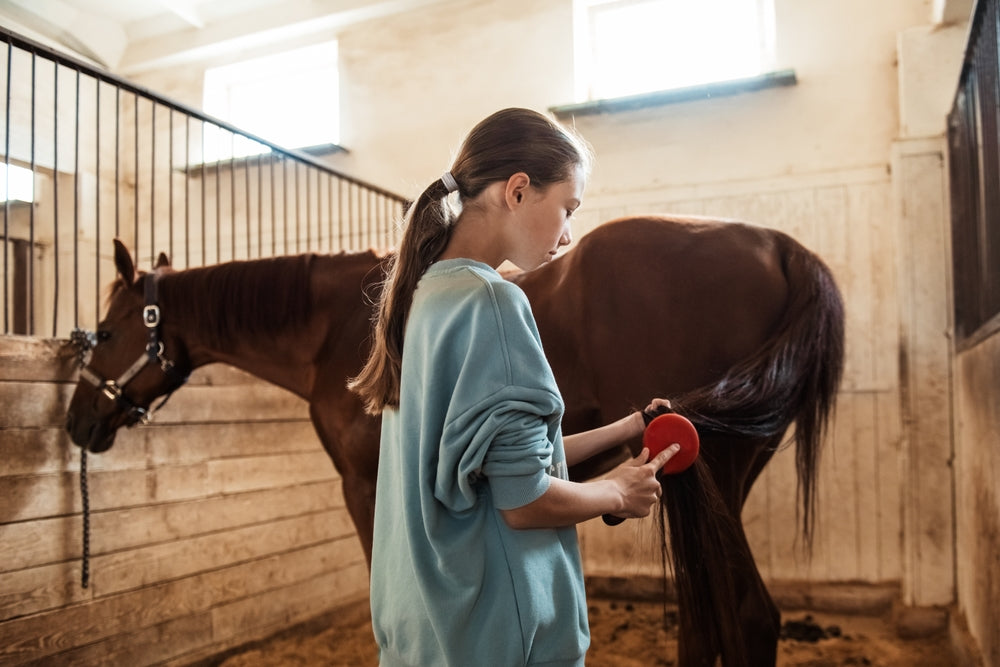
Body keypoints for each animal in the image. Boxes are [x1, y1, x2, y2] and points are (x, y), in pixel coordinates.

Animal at [64, 215, 844, 666]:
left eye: (104, 331)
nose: (76, 423)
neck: (338, 327)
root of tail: (781, 248)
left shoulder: (365, 486)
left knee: (748, 617)